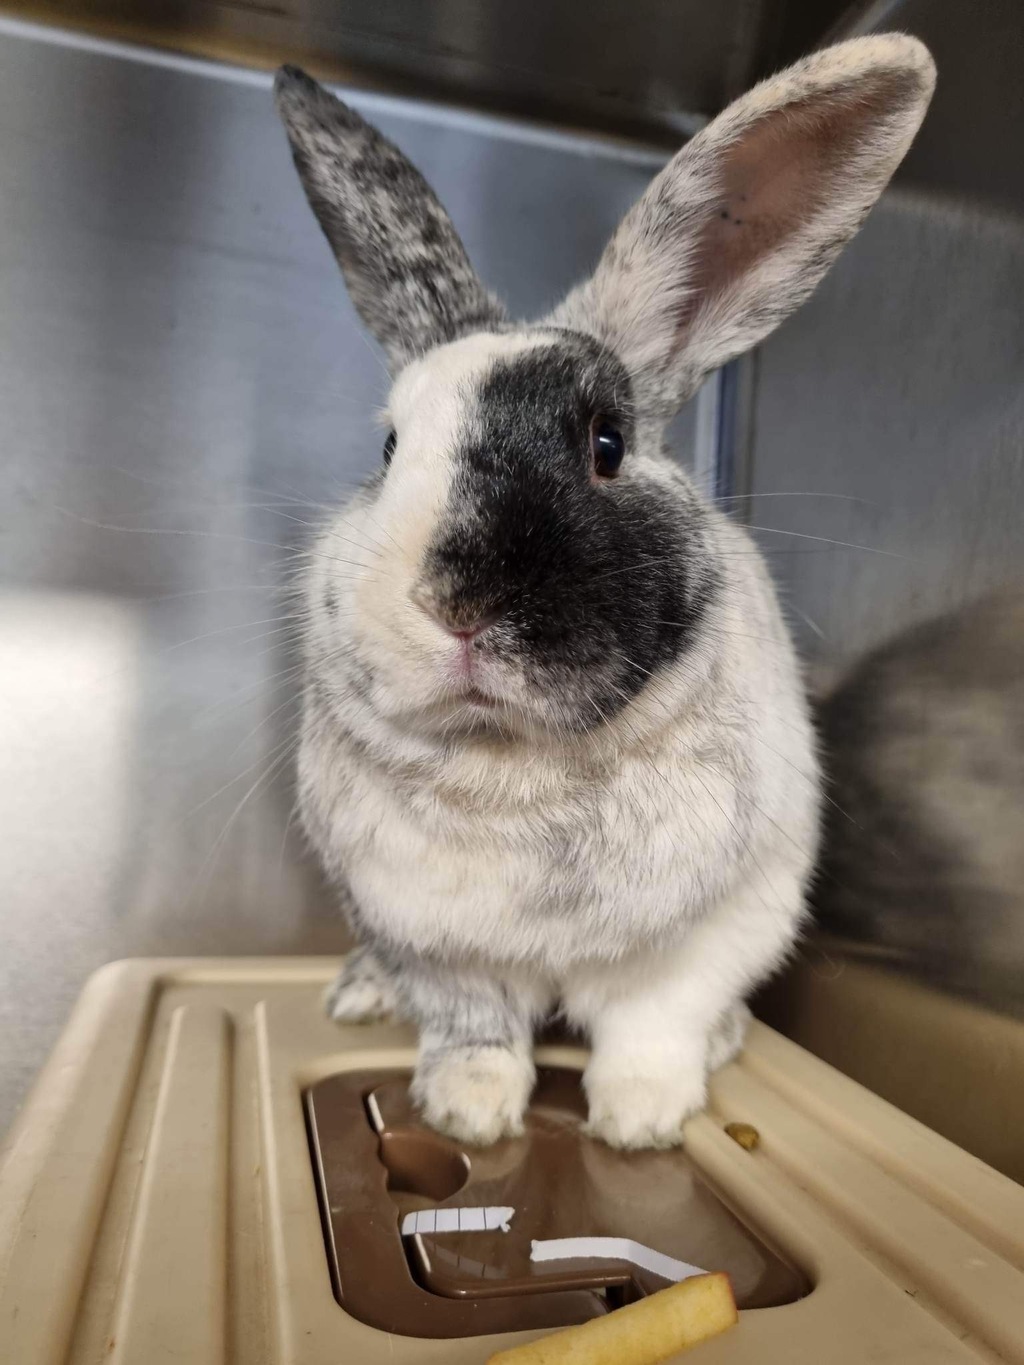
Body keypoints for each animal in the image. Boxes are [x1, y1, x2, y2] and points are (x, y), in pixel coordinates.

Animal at [273, 35, 935, 1150]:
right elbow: (475, 1027)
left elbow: (651, 1027)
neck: (517, 763)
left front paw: (640, 1121)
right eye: (390, 447)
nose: (457, 603)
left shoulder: (707, 933)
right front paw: (467, 1113)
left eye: (609, 444)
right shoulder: (436, 945)